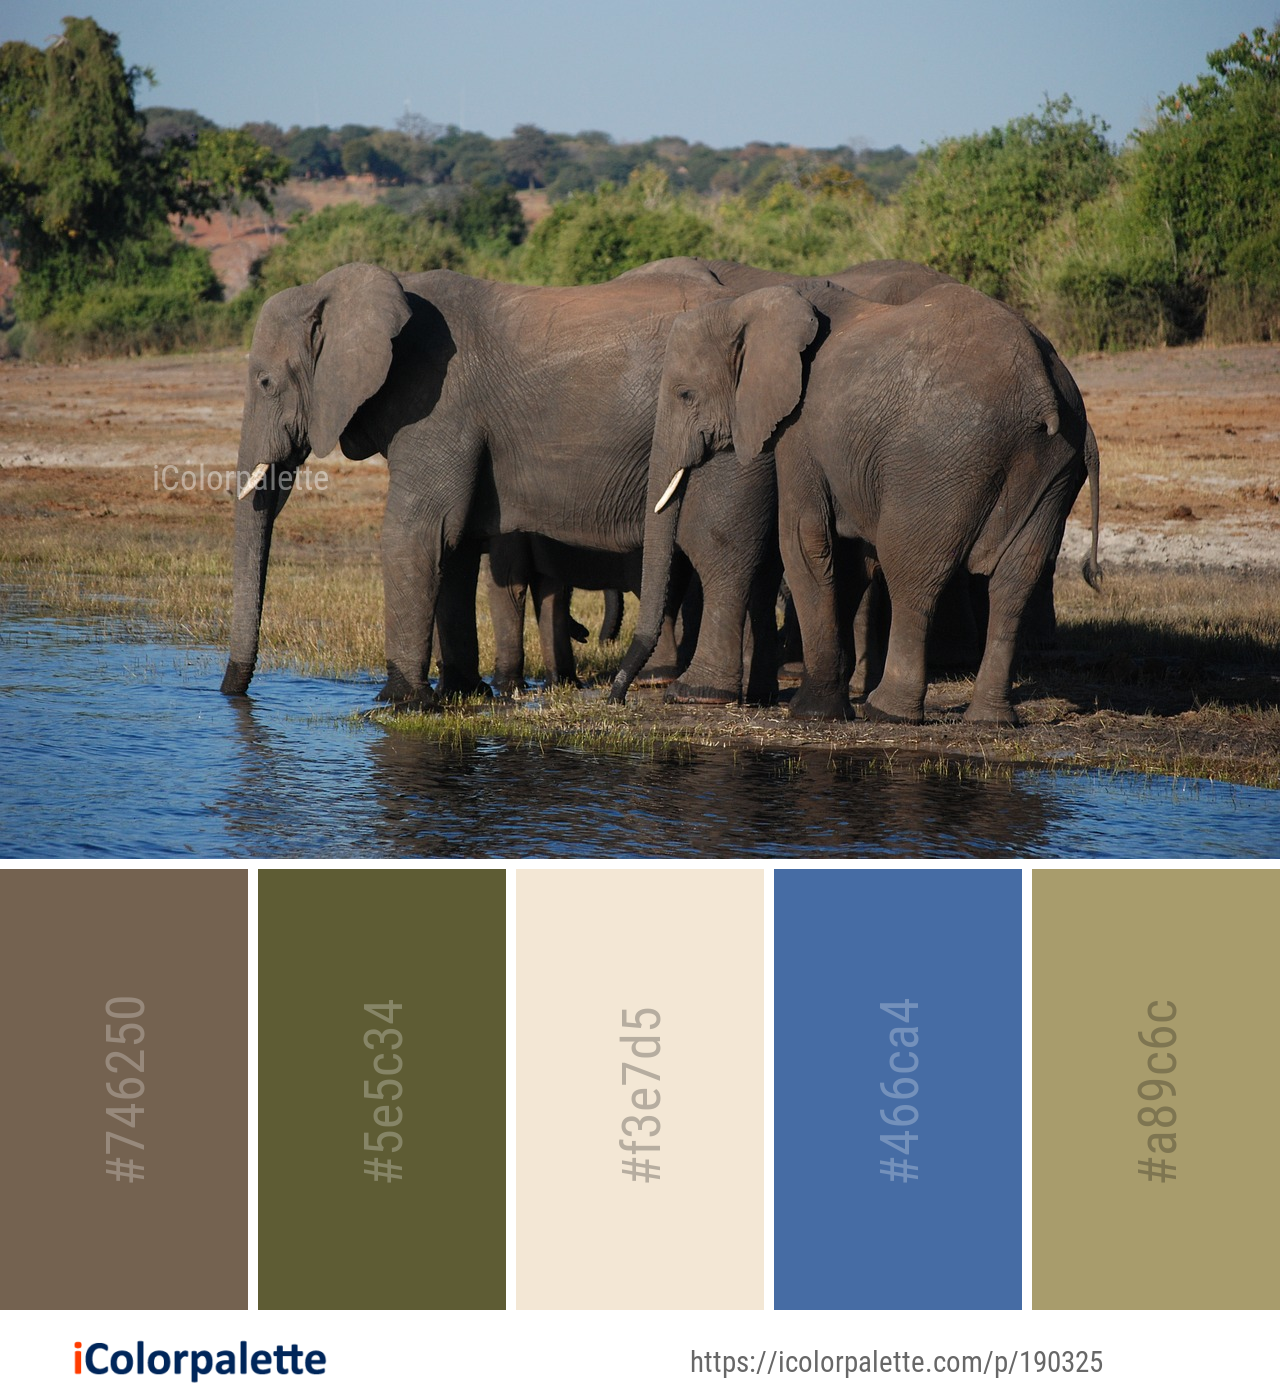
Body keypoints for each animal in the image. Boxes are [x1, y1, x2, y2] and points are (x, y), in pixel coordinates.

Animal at [220, 258, 785, 705]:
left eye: (265, 382)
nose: (231, 693)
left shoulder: (439, 403)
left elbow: (416, 533)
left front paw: (398, 702)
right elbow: (455, 543)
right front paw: (462, 693)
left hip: (735, 429)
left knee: (718, 548)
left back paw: (693, 691)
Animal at [610, 278, 1101, 725]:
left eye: (685, 393)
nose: (616, 695)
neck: (757, 302)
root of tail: (1040, 383)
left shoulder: (801, 428)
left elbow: (805, 541)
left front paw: (811, 713)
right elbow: (851, 562)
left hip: (942, 459)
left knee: (914, 573)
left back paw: (888, 713)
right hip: (1055, 464)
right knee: (1015, 581)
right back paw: (990, 720)